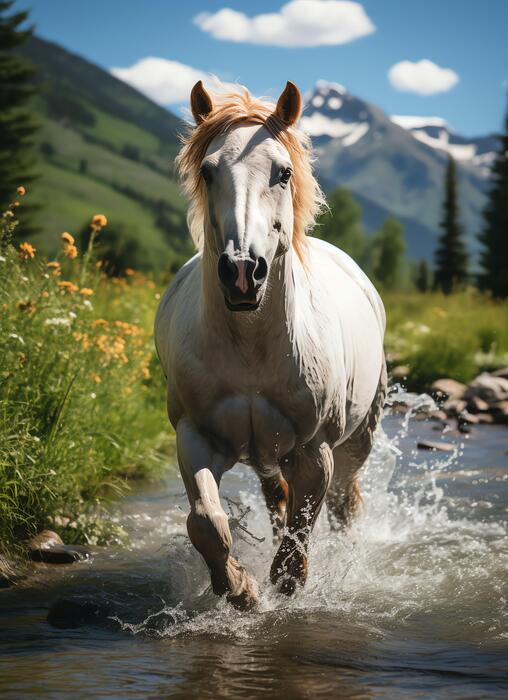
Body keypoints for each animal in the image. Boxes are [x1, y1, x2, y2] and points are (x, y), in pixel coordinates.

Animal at [154, 80, 386, 610]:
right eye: (207, 171)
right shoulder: (195, 437)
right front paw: (240, 588)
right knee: (276, 498)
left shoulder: (315, 453)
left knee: (342, 505)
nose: (242, 272)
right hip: (264, 455)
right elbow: (206, 523)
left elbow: (301, 533)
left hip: (357, 441)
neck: (251, 347)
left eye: (283, 172)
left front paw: (286, 586)